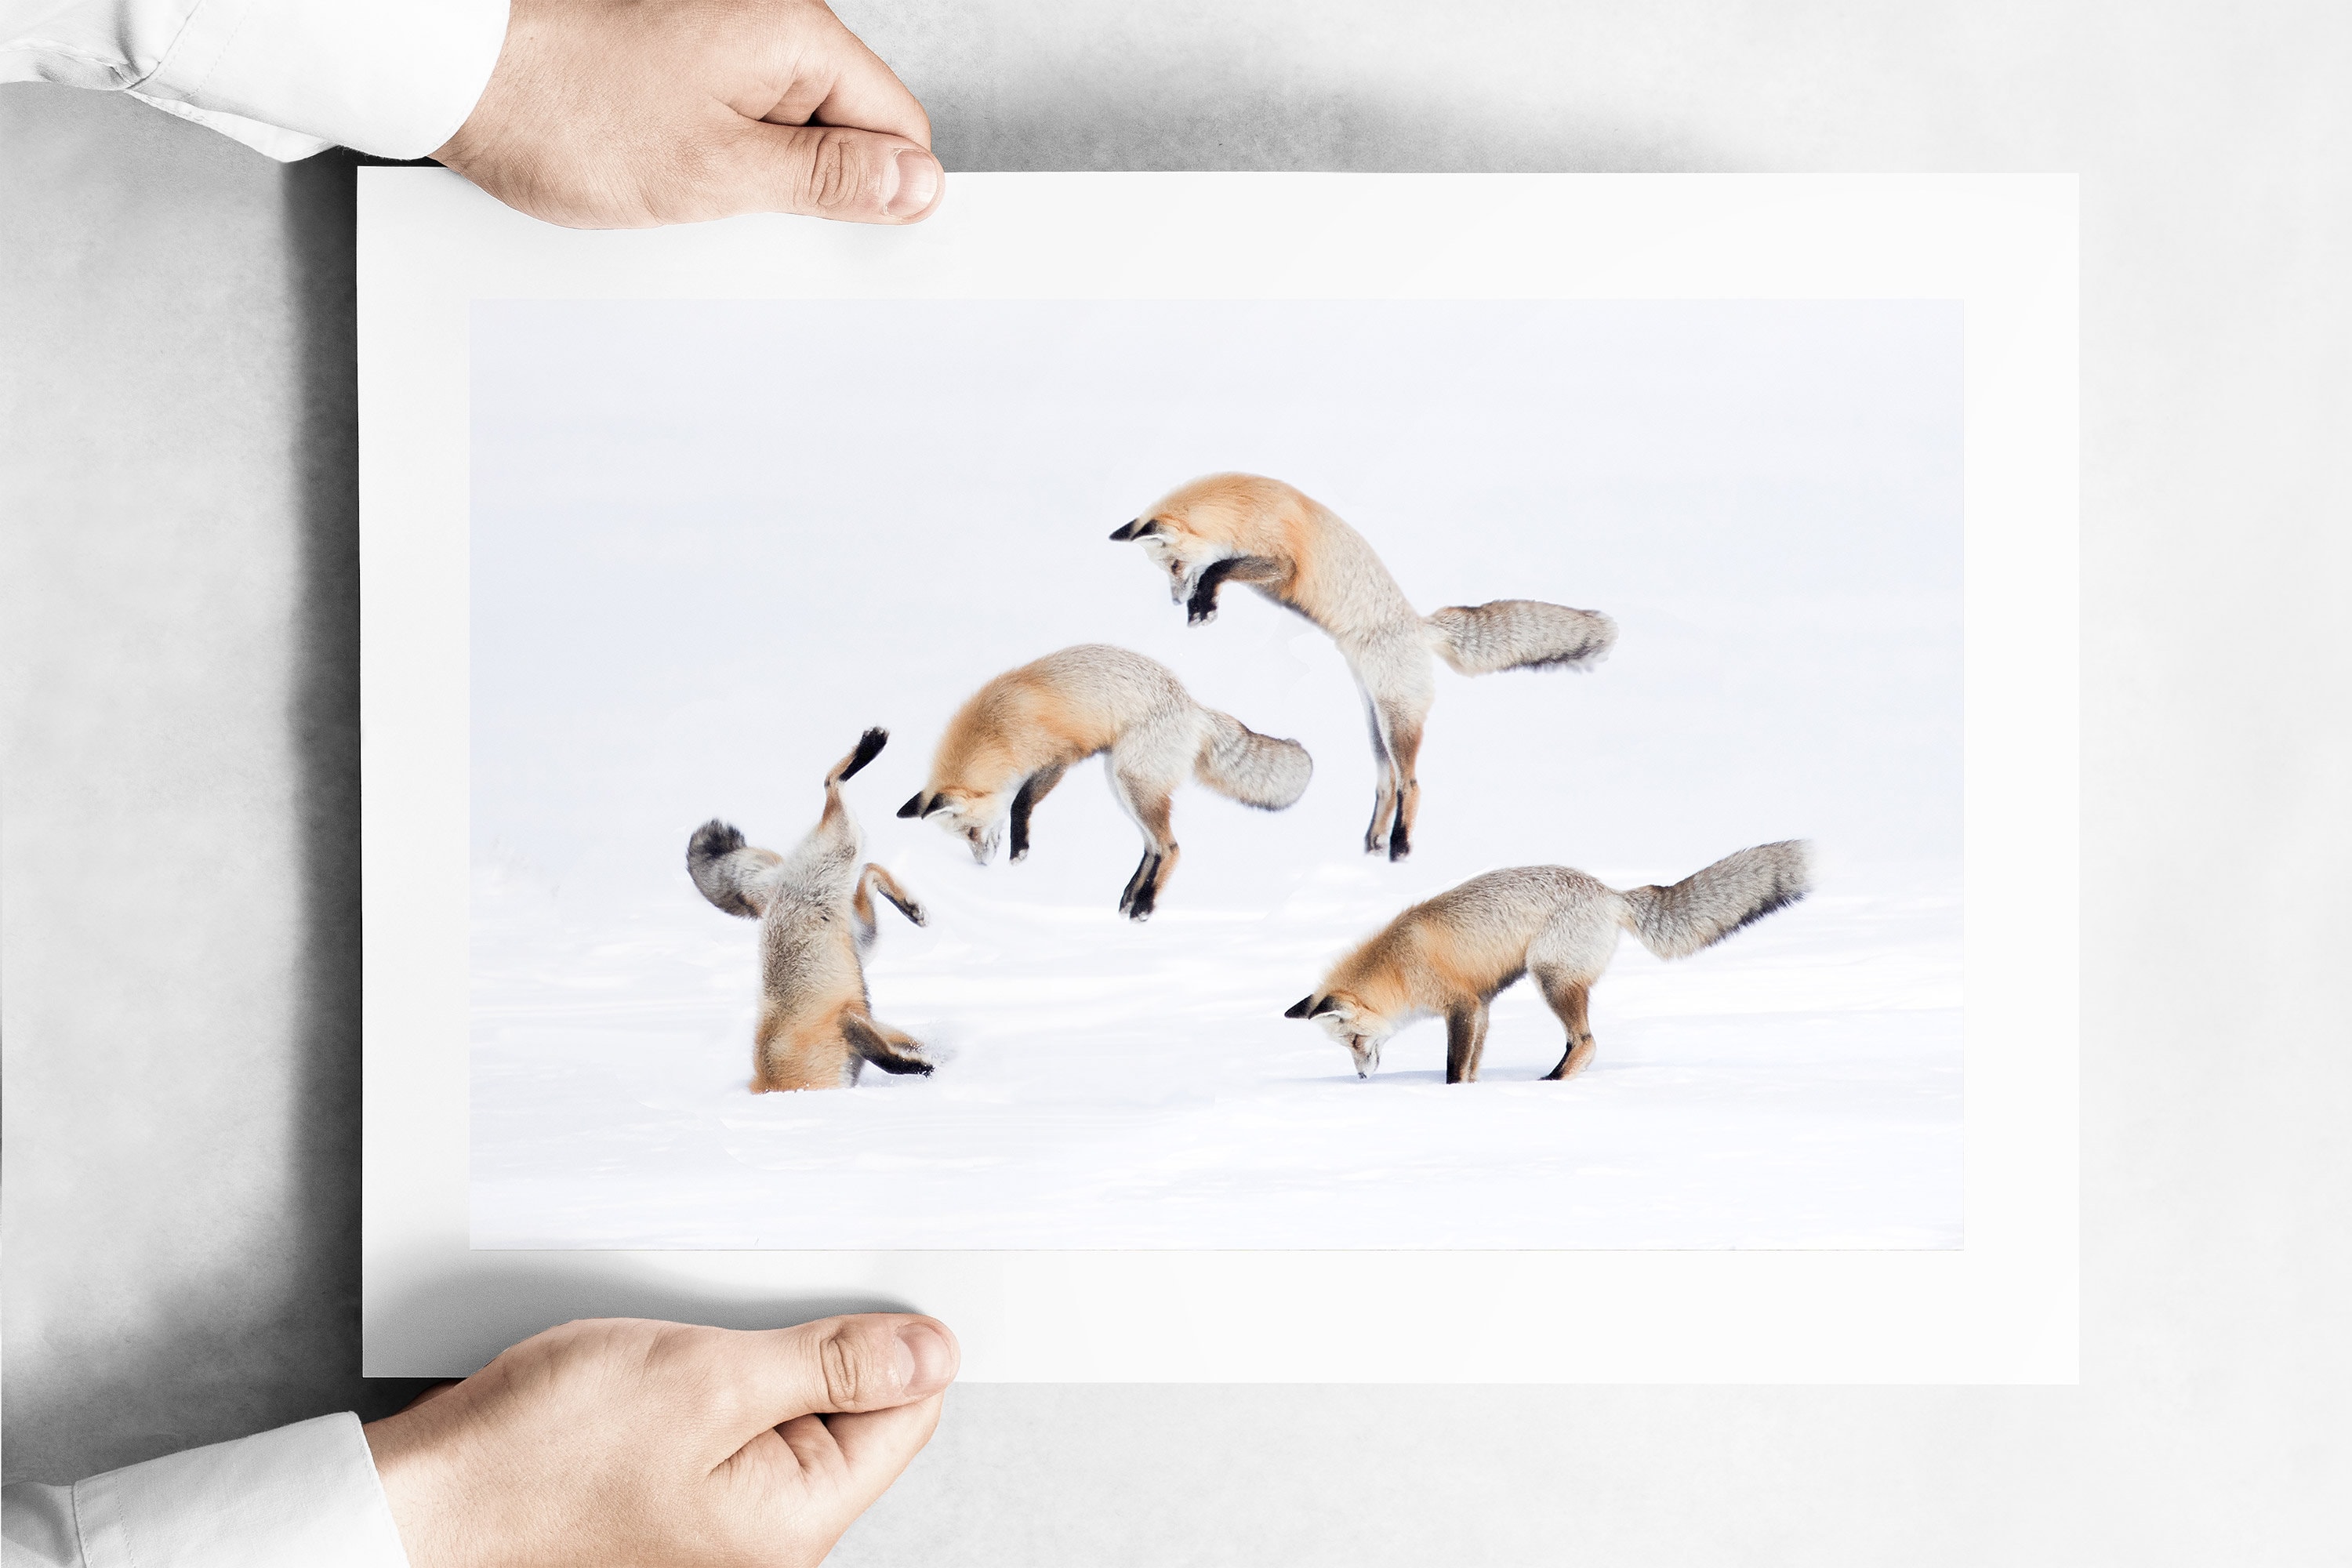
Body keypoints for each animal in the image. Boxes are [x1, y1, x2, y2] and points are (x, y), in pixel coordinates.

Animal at [687, 727, 935, 1092]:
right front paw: (935, 1058)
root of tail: (778, 885)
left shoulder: (847, 1021)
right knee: (869, 871)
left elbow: (890, 1062)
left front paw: (928, 1067)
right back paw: (912, 908)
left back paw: (869, 747)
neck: (777, 1077)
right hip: (864, 939)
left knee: (831, 785)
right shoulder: (863, 1017)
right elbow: (900, 1048)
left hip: (843, 844)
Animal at [896, 643, 1312, 921]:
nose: (981, 865)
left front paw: (1020, 849)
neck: (997, 733)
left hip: (1133, 784)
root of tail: (1192, 706)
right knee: (1152, 847)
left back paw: (1145, 905)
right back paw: (1131, 897)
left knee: (1171, 848)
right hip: (1121, 786)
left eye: (970, 831)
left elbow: (1020, 801)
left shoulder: (1058, 759)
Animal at [1109, 473, 1616, 861]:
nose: (1175, 603)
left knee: (1411, 783)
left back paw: (1401, 846)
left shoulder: (1282, 566)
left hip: (1396, 724)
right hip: (1376, 732)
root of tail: (1421, 627)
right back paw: (1373, 842)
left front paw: (1202, 603)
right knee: (1387, 784)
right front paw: (1201, 606)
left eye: (1175, 566)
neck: (1246, 509)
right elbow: (1221, 567)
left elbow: (1220, 568)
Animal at [1285, 840, 1810, 1084]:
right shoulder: (1482, 1007)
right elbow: (1471, 1066)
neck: (1398, 966)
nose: (1360, 1077)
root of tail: (1609, 892)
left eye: (1356, 1041)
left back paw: (1554, 1084)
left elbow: (1454, 1068)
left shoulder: (1461, 1005)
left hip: (1551, 978)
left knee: (1587, 1042)